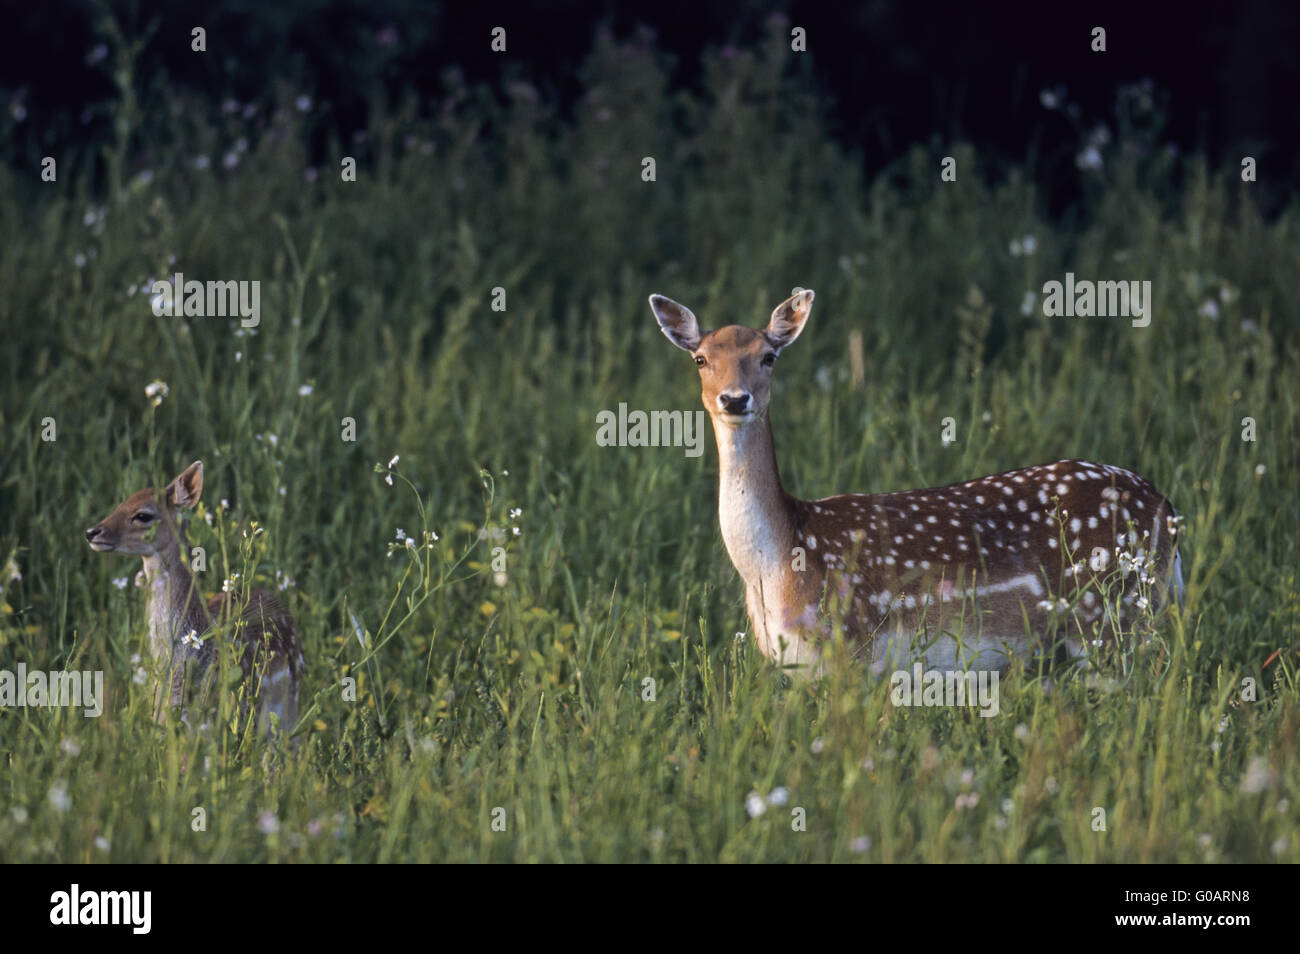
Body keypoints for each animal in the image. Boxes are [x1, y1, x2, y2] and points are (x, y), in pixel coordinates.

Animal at [650, 289, 1184, 677]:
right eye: (700, 359)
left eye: (768, 356)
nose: (734, 399)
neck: (777, 562)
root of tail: (1168, 509)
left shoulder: (853, 646)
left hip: (1109, 615)